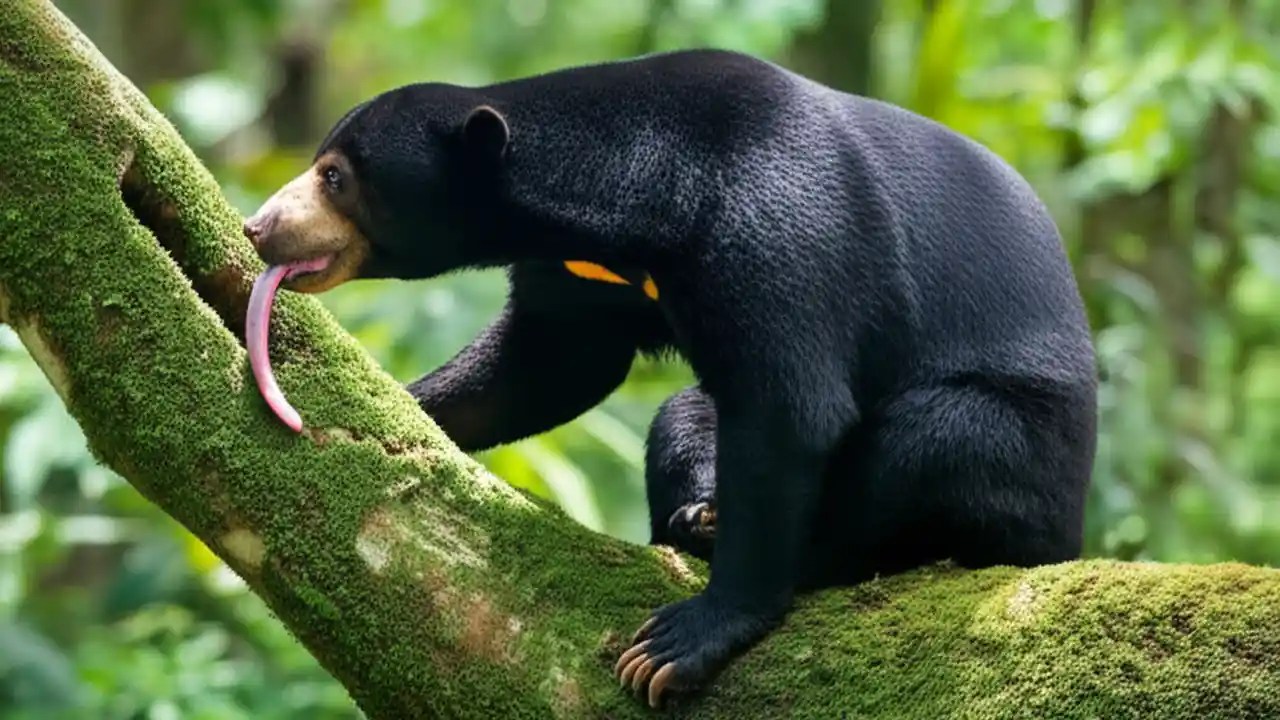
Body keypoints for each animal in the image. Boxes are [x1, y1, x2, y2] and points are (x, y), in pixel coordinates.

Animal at [242, 48, 1098, 708]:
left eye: (335, 177)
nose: (258, 228)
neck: (632, 202)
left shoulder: (778, 230)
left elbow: (792, 408)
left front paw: (676, 644)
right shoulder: (583, 267)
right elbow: (551, 362)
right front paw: (383, 410)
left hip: (1025, 454)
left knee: (934, 436)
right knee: (684, 415)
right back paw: (696, 518)